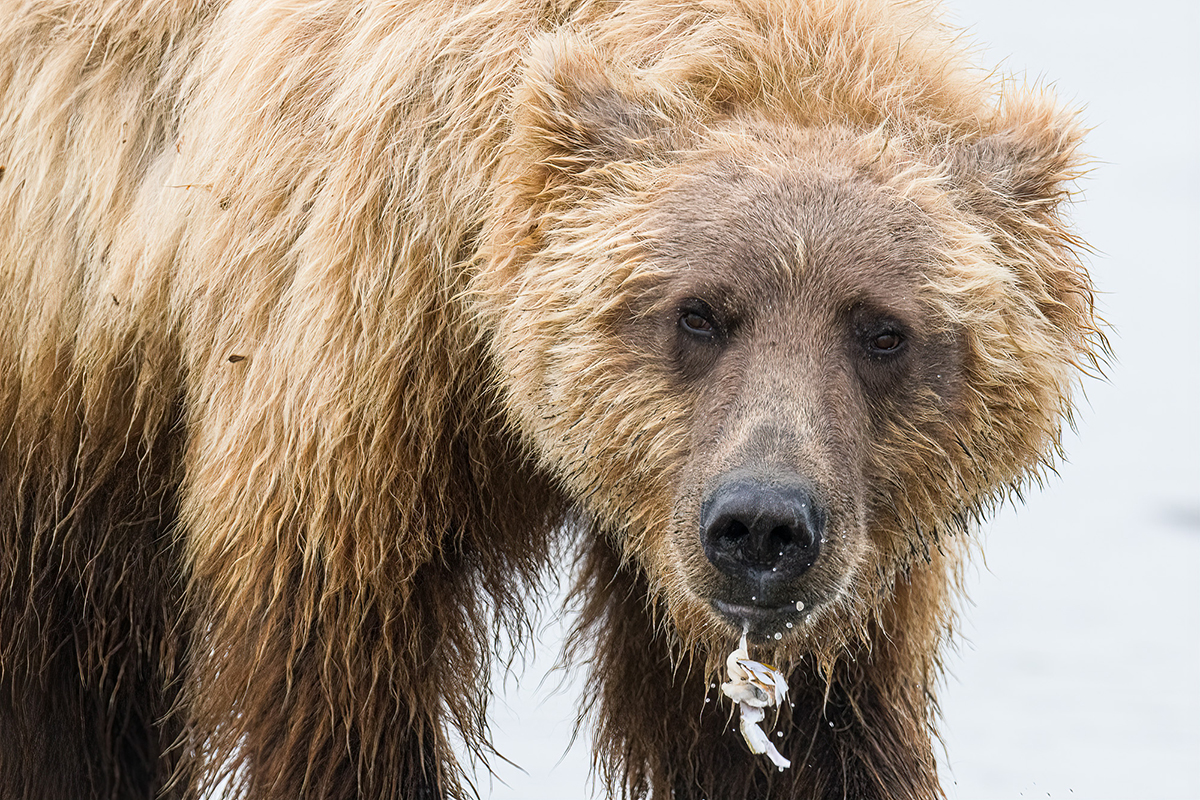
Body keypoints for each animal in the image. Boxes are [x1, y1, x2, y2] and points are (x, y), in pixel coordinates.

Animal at [0, 0, 1102, 799]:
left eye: (882, 329)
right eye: (700, 313)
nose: (762, 523)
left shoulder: (854, 566)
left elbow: (801, 735)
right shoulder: (348, 365)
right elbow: (343, 690)